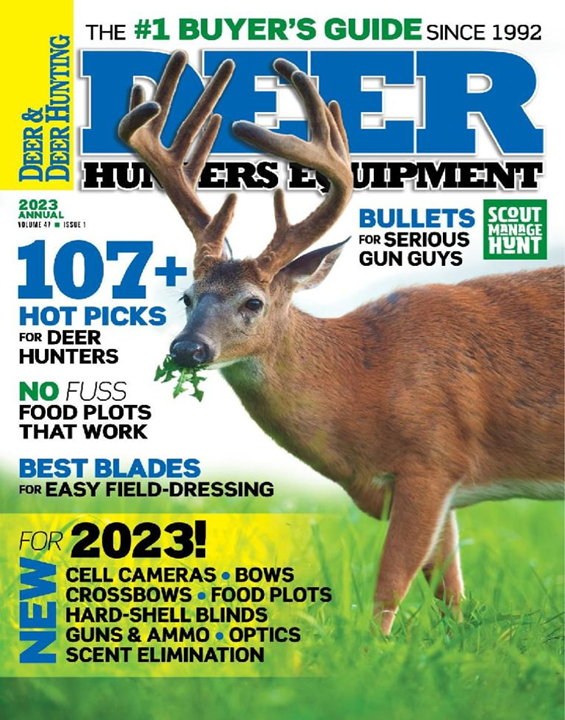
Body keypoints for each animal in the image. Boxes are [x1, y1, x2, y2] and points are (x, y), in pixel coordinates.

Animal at [119, 50, 564, 635]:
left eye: (253, 303)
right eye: (186, 296)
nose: (187, 350)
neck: (363, 375)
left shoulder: (433, 456)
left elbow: (388, 587)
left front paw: (378, 651)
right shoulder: (435, 489)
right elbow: (452, 598)